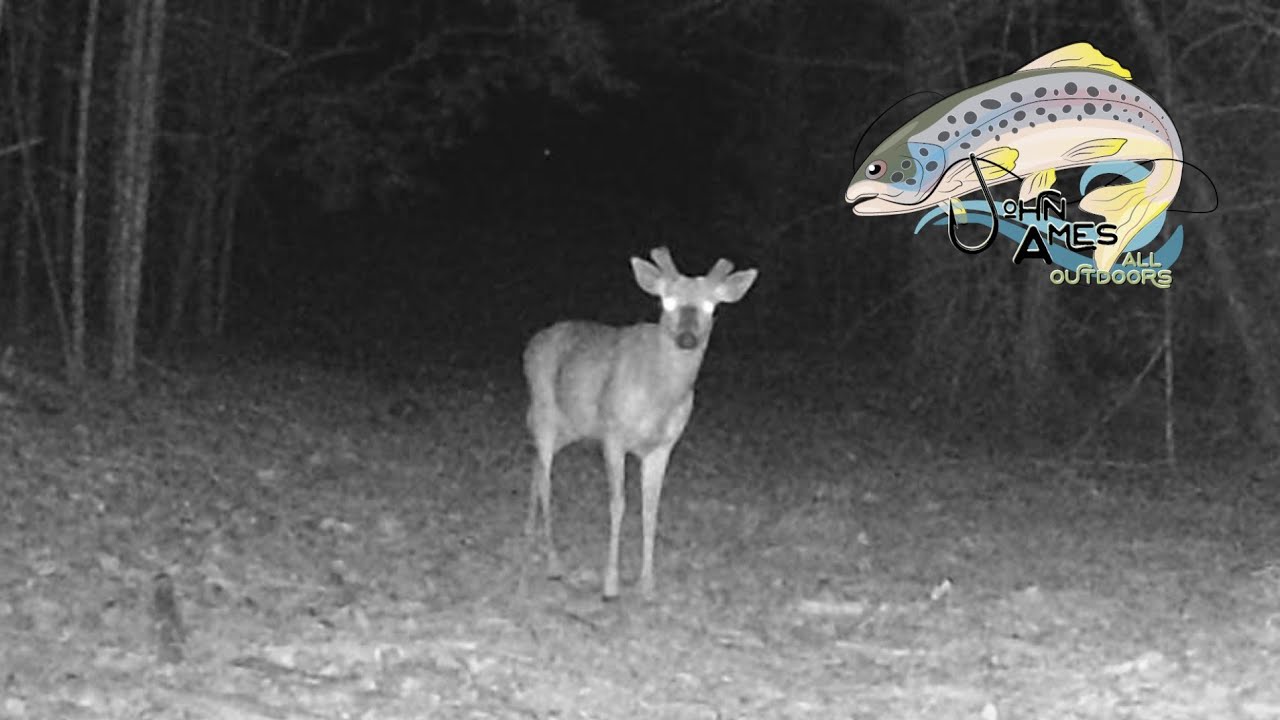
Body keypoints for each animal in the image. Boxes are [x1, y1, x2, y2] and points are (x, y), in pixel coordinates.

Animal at [522, 246, 758, 600]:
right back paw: (554, 563)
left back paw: (529, 530)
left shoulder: (663, 446)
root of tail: (530, 345)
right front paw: (611, 584)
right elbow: (618, 504)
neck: (657, 399)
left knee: (537, 465)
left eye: (711, 305)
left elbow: (651, 507)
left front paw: (647, 583)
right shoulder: (613, 433)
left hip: (572, 425)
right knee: (546, 476)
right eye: (667, 301)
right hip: (544, 409)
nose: (687, 337)